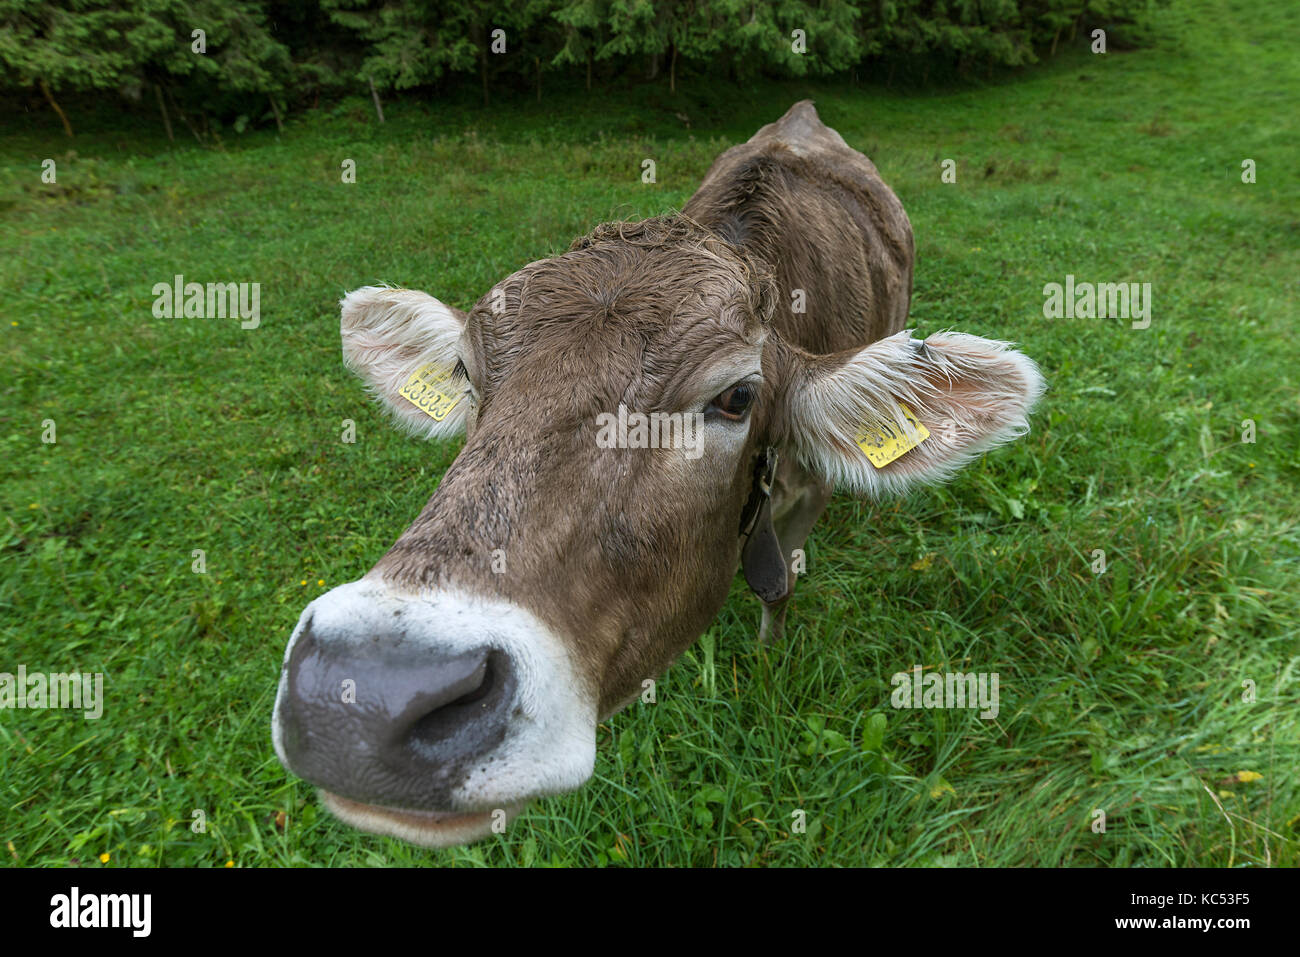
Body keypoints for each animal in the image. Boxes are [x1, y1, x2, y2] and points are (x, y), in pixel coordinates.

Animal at [272, 101, 1045, 848]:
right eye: (465, 372)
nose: (366, 693)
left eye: (737, 397)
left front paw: (767, 657)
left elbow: (780, 586)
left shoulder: (808, 494)